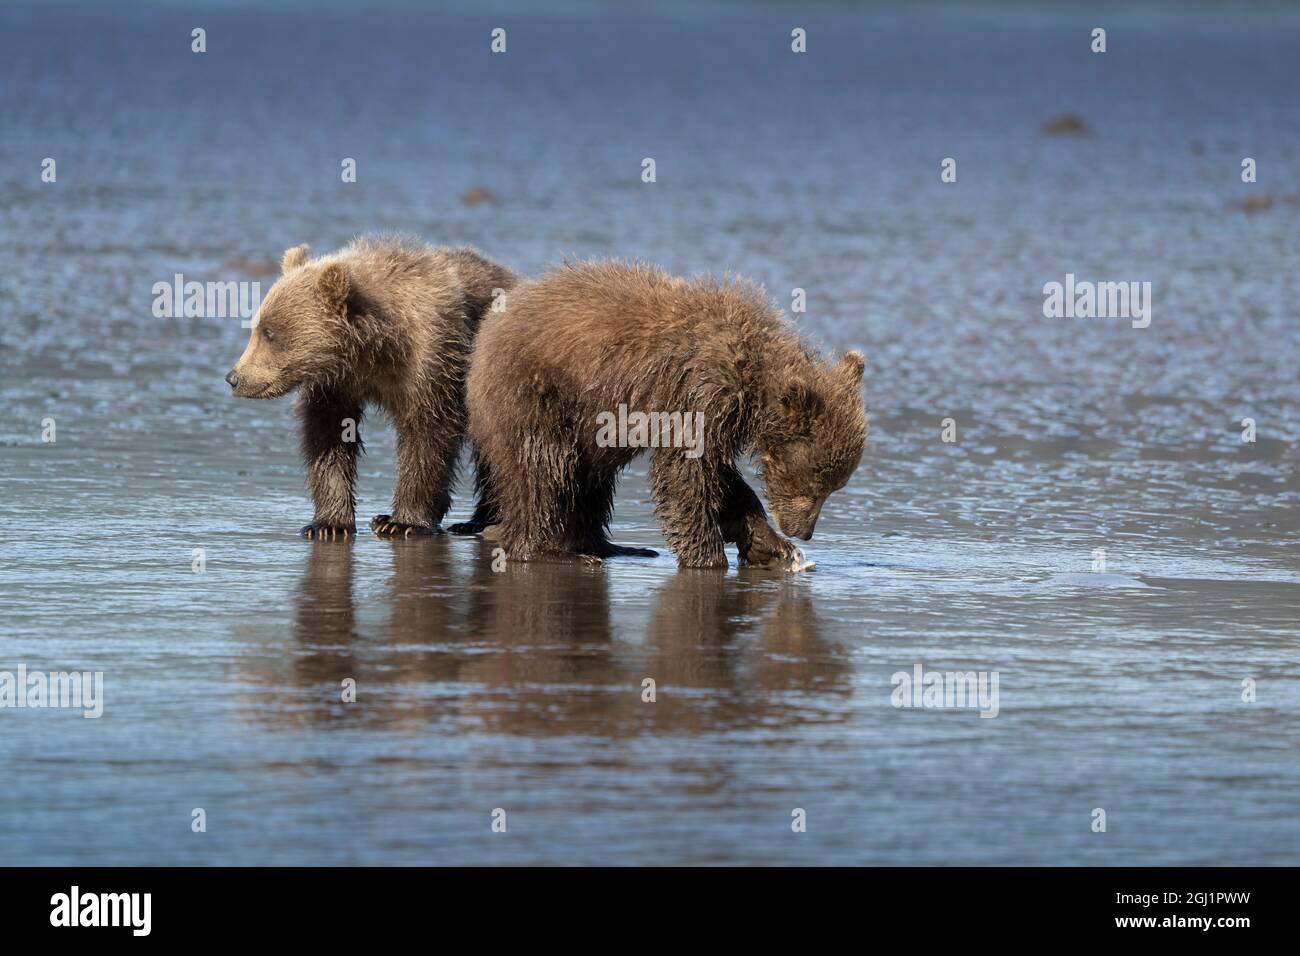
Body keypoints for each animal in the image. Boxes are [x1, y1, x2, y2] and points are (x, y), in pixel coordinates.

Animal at [226, 235, 516, 539]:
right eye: (256, 328)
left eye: (269, 333)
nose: (234, 377)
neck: (375, 350)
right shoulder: (336, 385)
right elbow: (328, 437)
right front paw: (329, 523)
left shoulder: (431, 363)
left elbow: (428, 434)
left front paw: (403, 522)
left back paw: (478, 520)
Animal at [465, 260, 866, 569]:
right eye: (815, 484)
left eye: (834, 486)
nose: (805, 531)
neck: (751, 378)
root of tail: (488, 331)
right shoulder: (697, 393)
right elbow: (684, 474)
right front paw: (709, 557)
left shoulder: (718, 416)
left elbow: (721, 477)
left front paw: (770, 544)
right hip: (536, 393)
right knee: (541, 472)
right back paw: (552, 551)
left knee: (591, 480)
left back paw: (610, 545)